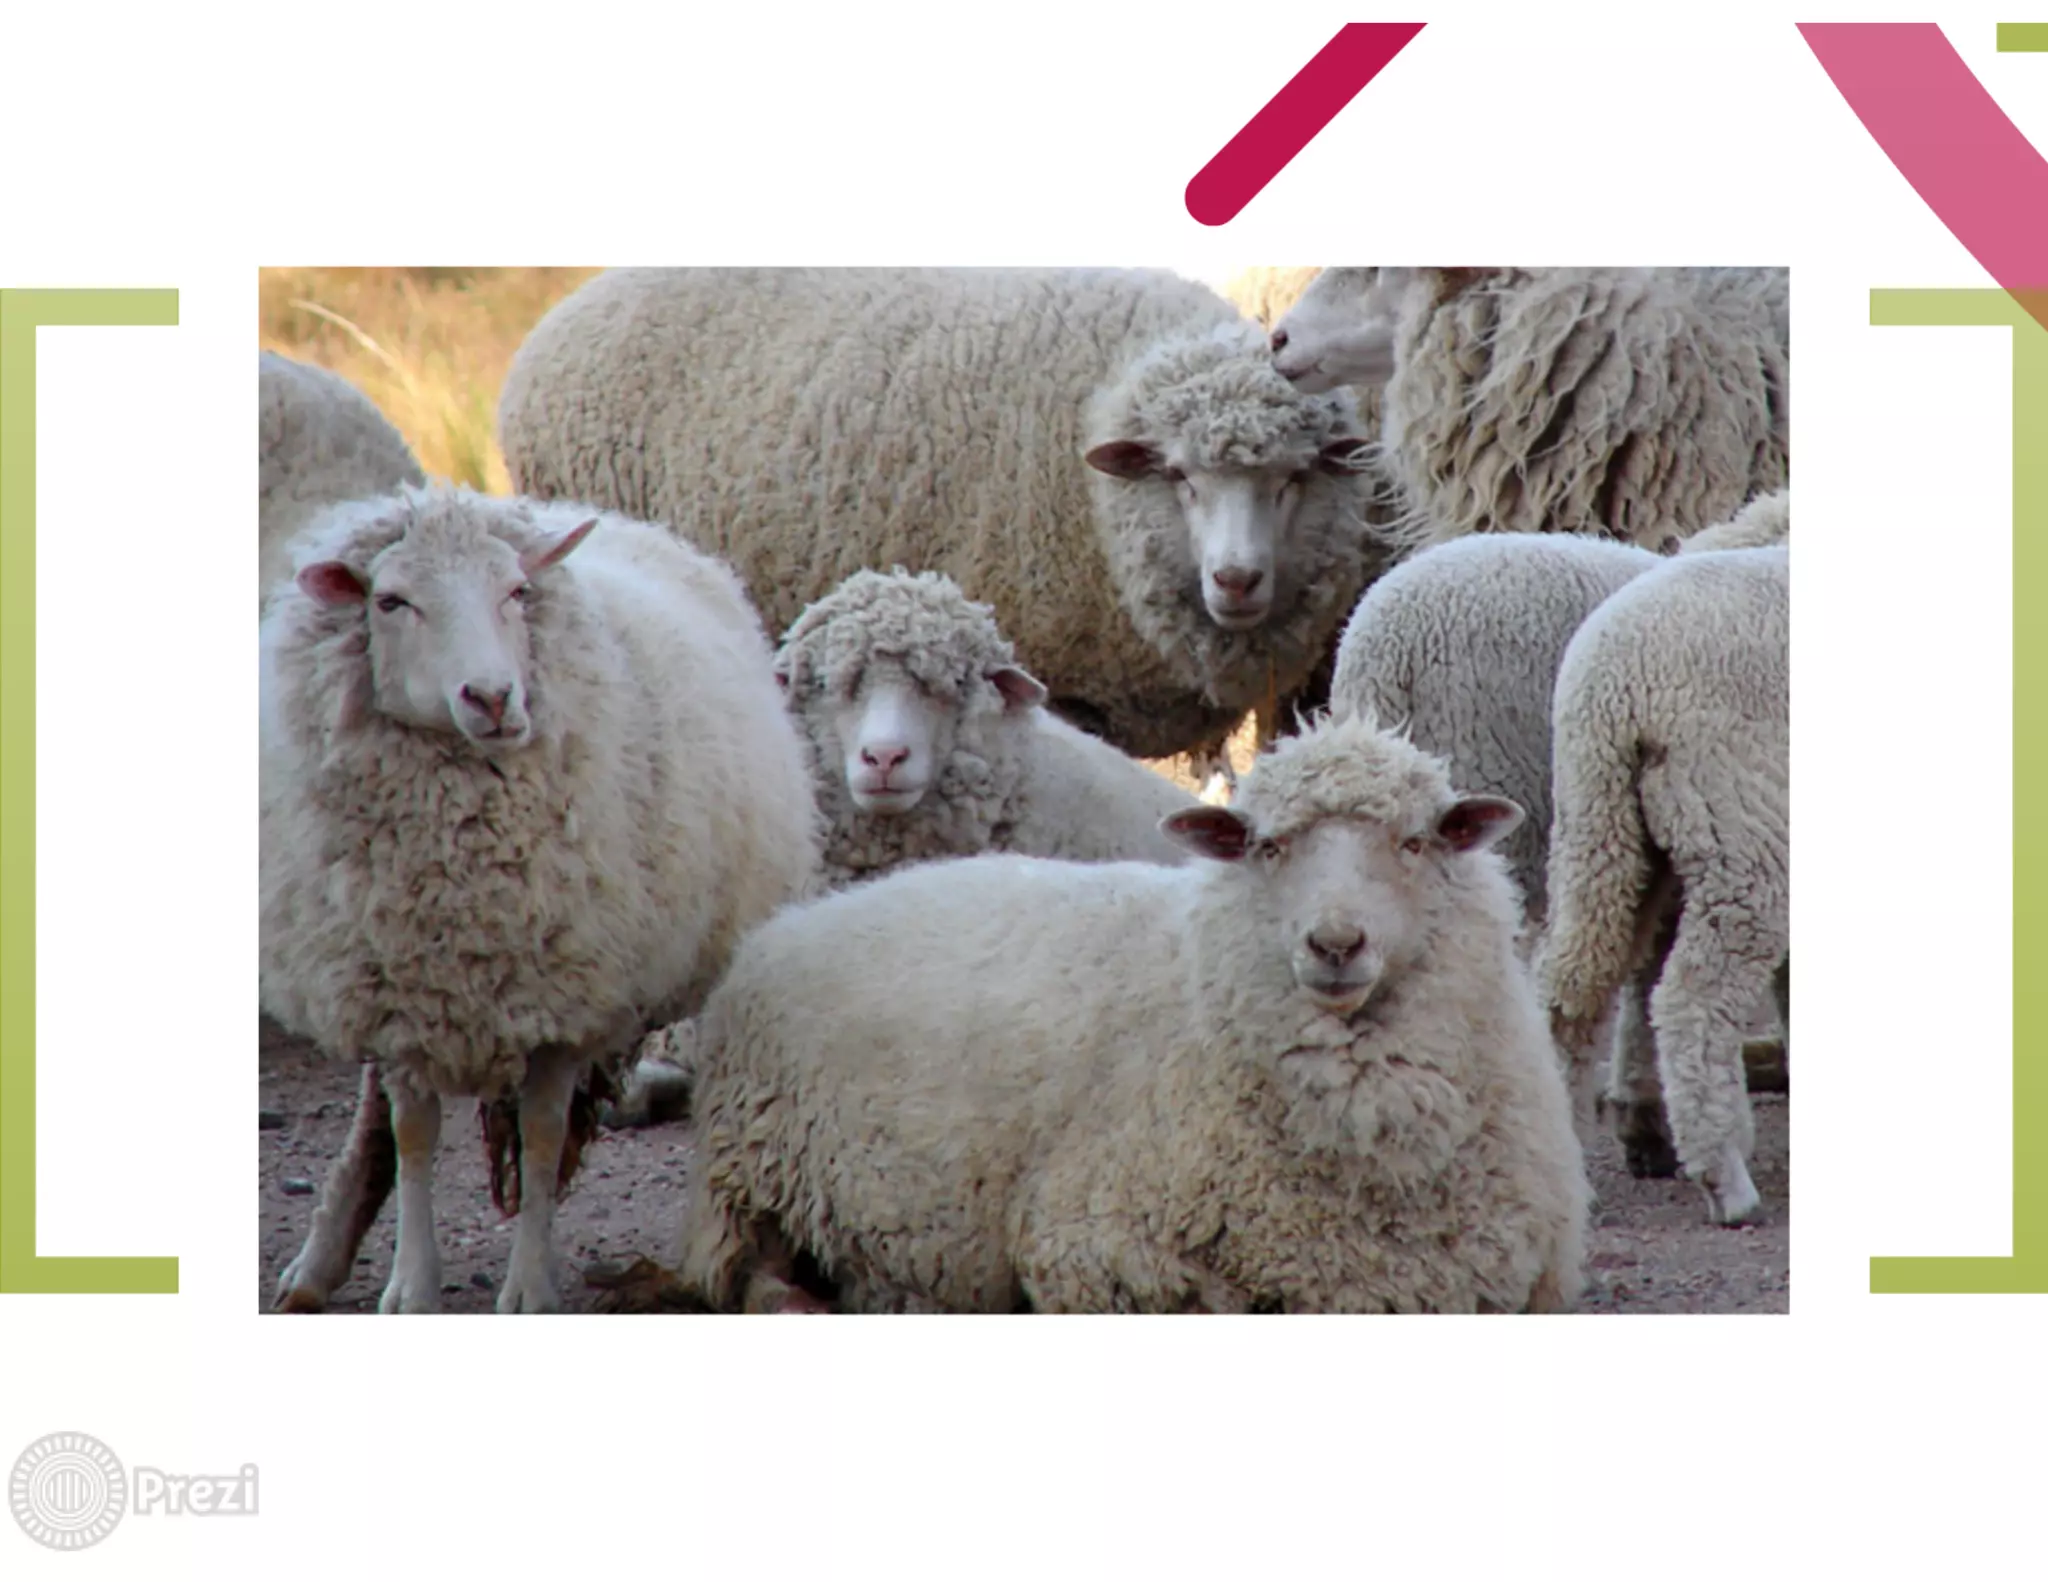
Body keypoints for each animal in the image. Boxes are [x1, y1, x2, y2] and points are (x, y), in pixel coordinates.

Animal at [262, 483, 821, 1313]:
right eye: (391, 602)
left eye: (516, 592)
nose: (493, 698)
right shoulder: (399, 1003)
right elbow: (414, 1136)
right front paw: (411, 1284)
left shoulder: (565, 1001)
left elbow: (545, 1132)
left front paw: (529, 1285)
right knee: (373, 1127)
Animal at [495, 266, 1382, 764]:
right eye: (1177, 478)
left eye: (1297, 477)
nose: (1237, 581)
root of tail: (560, 318)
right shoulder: (1057, 681)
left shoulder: (1292, 684)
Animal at [671, 710, 1591, 1315]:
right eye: (1266, 847)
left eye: (1415, 842)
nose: (1335, 943)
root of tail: (795, 920)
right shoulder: (1098, 1249)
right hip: (750, 1181)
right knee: (753, 1281)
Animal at [1537, 543, 1788, 1226]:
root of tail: (1613, 680)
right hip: (1744, 821)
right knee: (1691, 996)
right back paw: (1725, 1181)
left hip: (1599, 822)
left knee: (1570, 987)